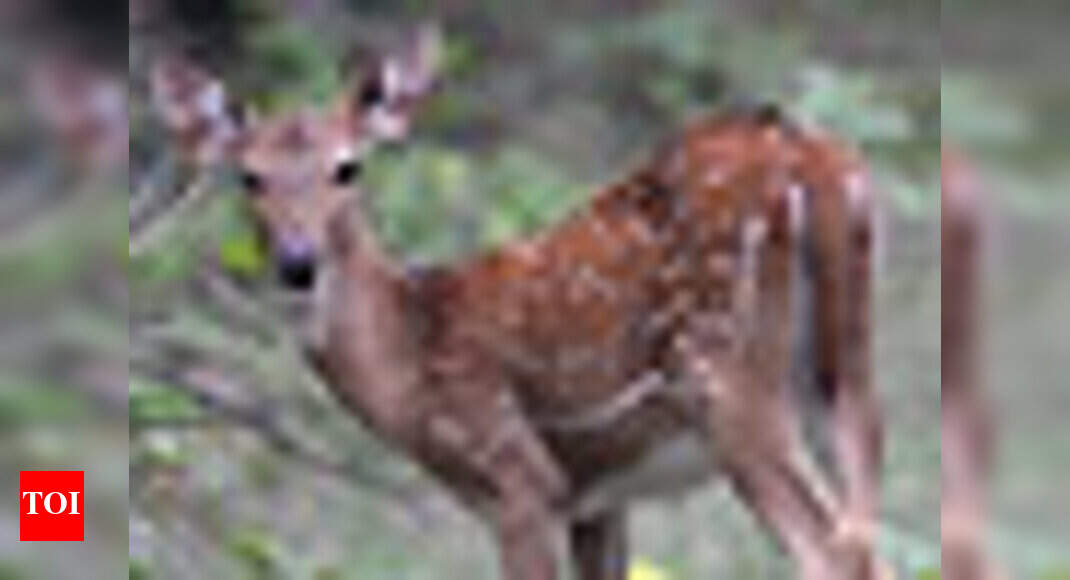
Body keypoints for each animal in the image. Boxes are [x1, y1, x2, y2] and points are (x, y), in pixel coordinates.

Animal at [148, 25, 889, 580]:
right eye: (250, 177)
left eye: (347, 167)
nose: (298, 263)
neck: (408, 366)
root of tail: (819, 164)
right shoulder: (597, 496)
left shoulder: (517, 475)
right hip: (842, 372)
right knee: (871, 533)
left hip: (727, 376)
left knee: (833, 550)